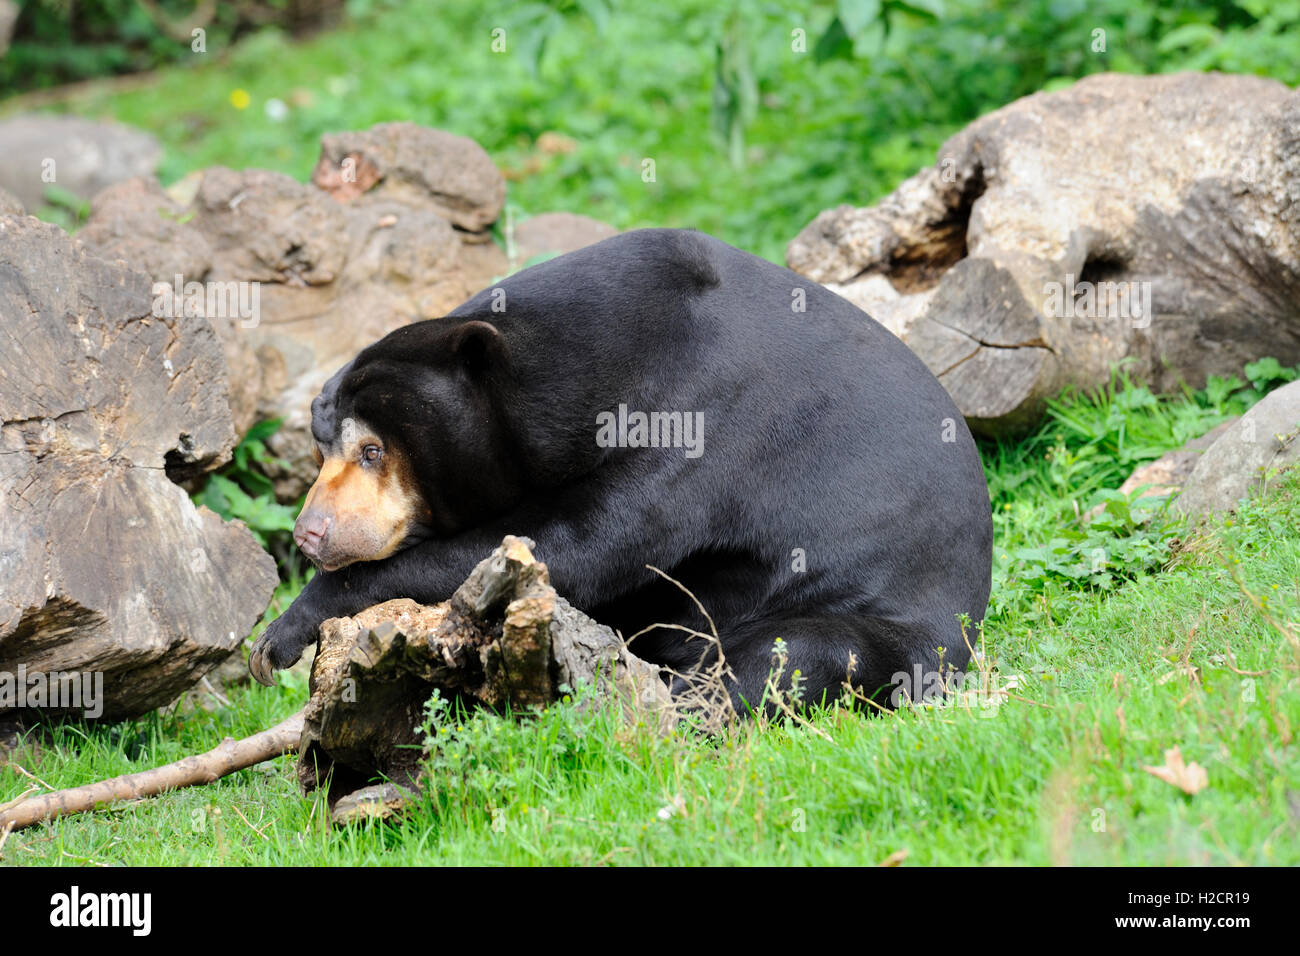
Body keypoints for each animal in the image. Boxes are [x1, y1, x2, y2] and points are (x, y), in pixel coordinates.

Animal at [249, 228, 993, 713]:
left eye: (373, 452)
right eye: (323, 449)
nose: (311, 534)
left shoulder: (701, 413)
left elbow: (588, 544)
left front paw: (280, 633)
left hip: (880, 620)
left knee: (784, 658)